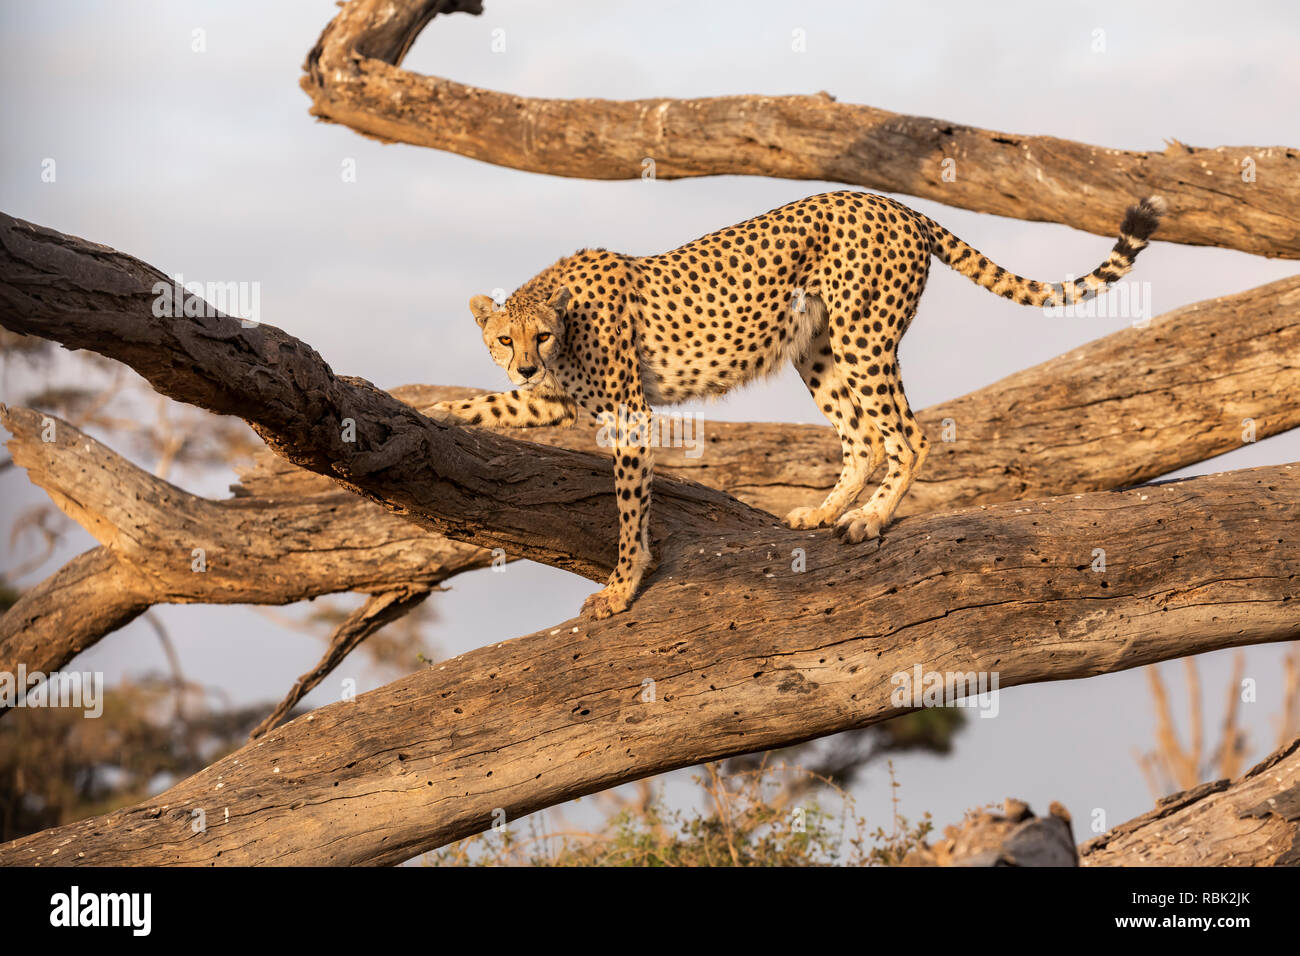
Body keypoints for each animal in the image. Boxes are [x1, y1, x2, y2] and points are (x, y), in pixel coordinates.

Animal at [432, 190, 1166, 619]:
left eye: (539, 335)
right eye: (505, 338)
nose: (525, 363)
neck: (564, 321)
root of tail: (893, 203)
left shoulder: (627, 413)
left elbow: (629, 509)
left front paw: (621, 586)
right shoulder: (554, 399)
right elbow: (483, 405)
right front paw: (425, 415)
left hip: (863, 335)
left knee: (907, 436)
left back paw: (868, 520)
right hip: (816, 348)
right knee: (862, 436)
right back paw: (825, 511)